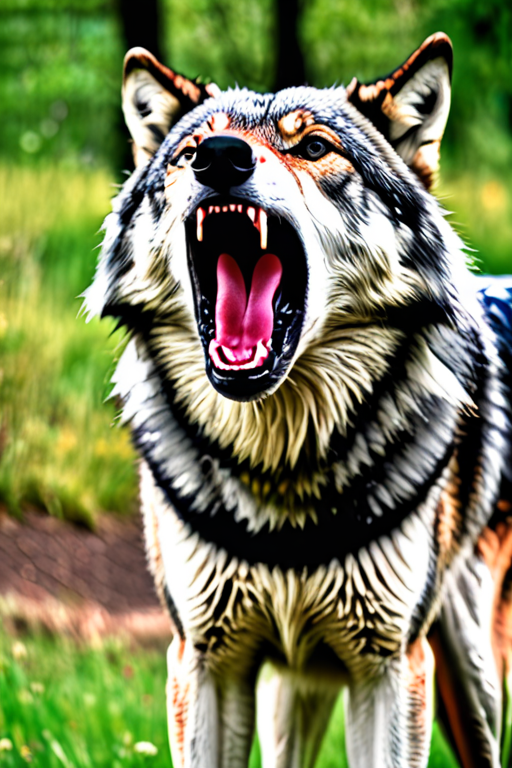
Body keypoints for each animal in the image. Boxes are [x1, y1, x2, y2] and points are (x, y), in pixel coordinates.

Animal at [84, 32, 512, 768]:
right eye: (190, 149)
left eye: (312, 147)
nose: (220, 157)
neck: (282, 468)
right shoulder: (204, 661)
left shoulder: (391, 668)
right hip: (298, 691)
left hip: (473, 683)